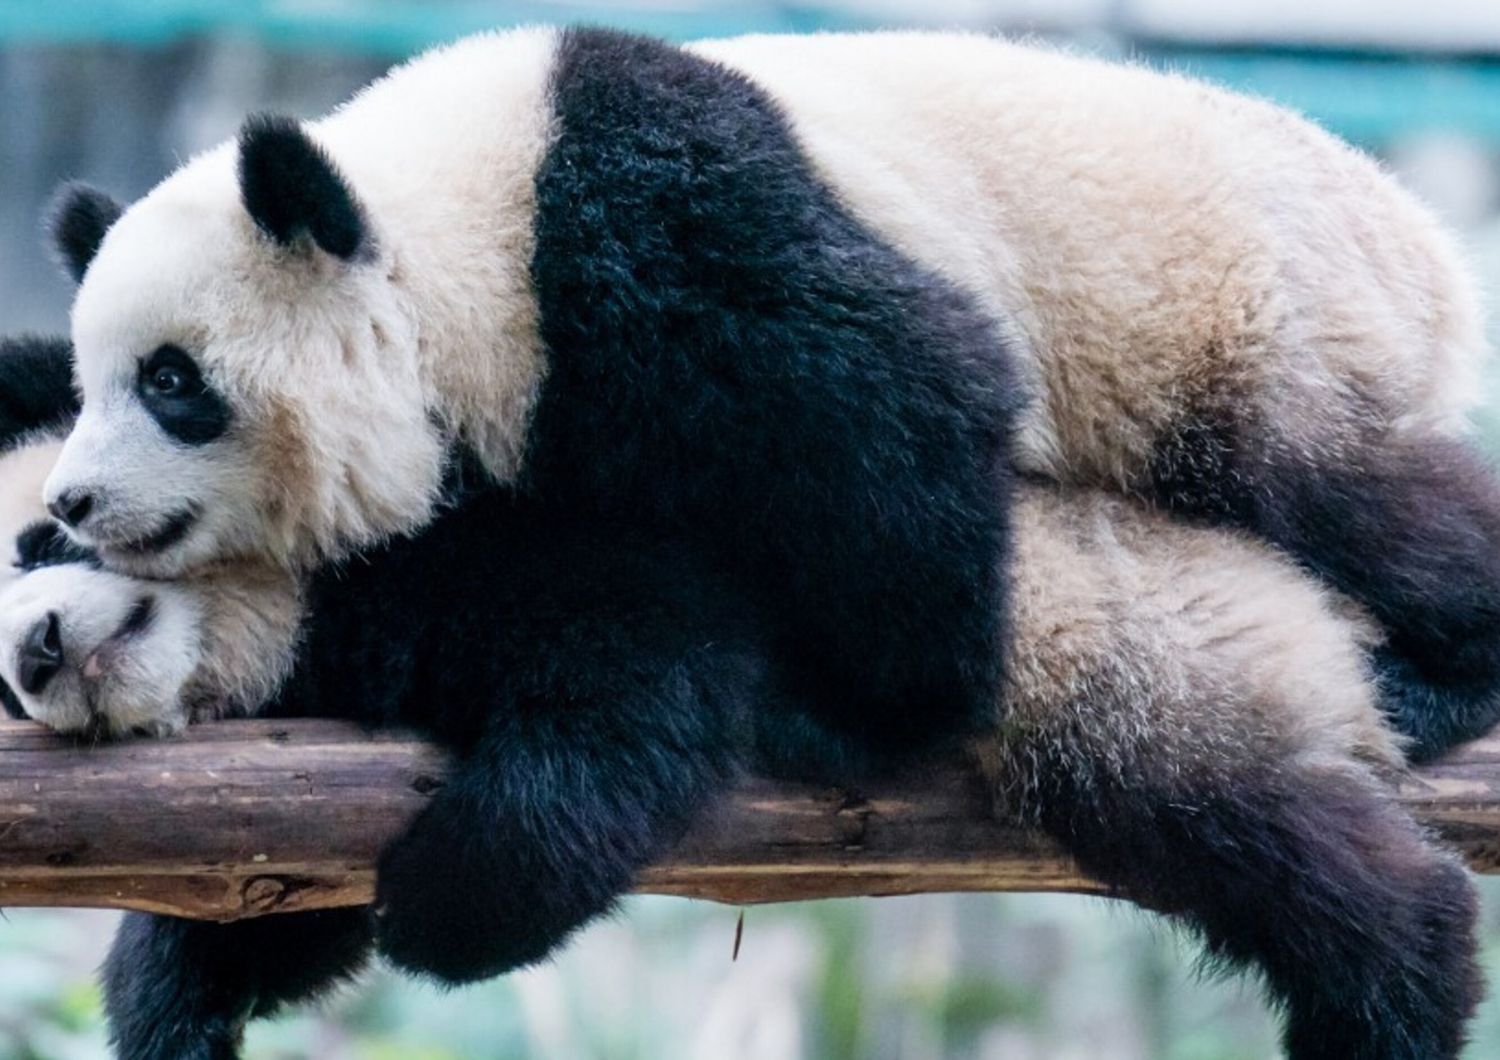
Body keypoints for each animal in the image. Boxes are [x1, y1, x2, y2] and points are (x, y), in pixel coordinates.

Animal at [0, 335, 1479, 1059]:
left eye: (35, 540)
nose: (35, 658)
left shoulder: (497, 526)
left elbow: (649, 672)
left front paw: (446, 905)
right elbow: (276, 892)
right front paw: (175, 1006)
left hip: (1131, 651)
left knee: (1273, 846)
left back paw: (1399, 996)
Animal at [43, 28, 1500, 772]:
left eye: (171, 382)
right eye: (85, 381)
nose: (70, 501)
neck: (442, 230)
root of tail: (1423, 237)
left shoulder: (645, 223)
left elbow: (909, 403)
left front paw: (871, 714)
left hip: (1256, 314)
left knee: (1350, 496)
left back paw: (1441, 675)